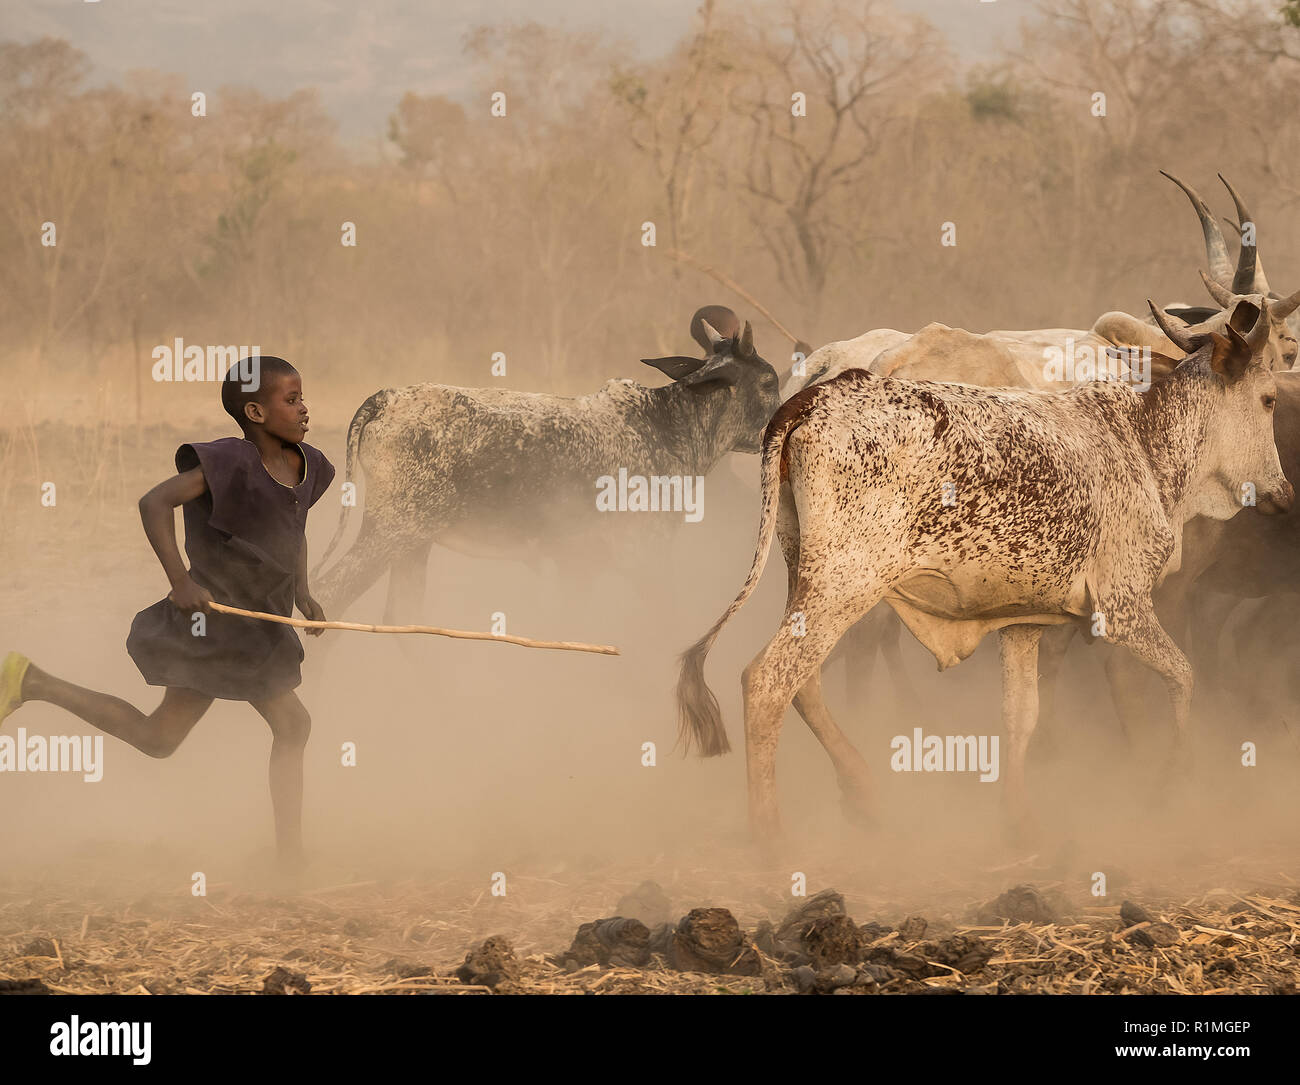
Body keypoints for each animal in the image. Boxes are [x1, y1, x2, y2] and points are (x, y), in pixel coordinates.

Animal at [311, 308, 781, 622]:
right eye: (769, 381)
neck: (669, 428)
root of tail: (386, 398)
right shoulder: (643, 555)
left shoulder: (580, 563)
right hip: (393, 530)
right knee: (330, 598)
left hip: (414, 541)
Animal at [675, 296, 1290, 844]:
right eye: (1267, 399)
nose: (1284, 494)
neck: (1143, 439)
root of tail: (814, 399)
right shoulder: (1122, 609)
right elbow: (1183, 676)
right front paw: (1173, 782)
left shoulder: (1023, 624)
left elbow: (1021, 716)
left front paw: (1019, 821)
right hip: (843, 587)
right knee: (769, 680)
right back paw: (770, 832)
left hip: (805, 580)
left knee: (805, 684)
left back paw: (863, 794)